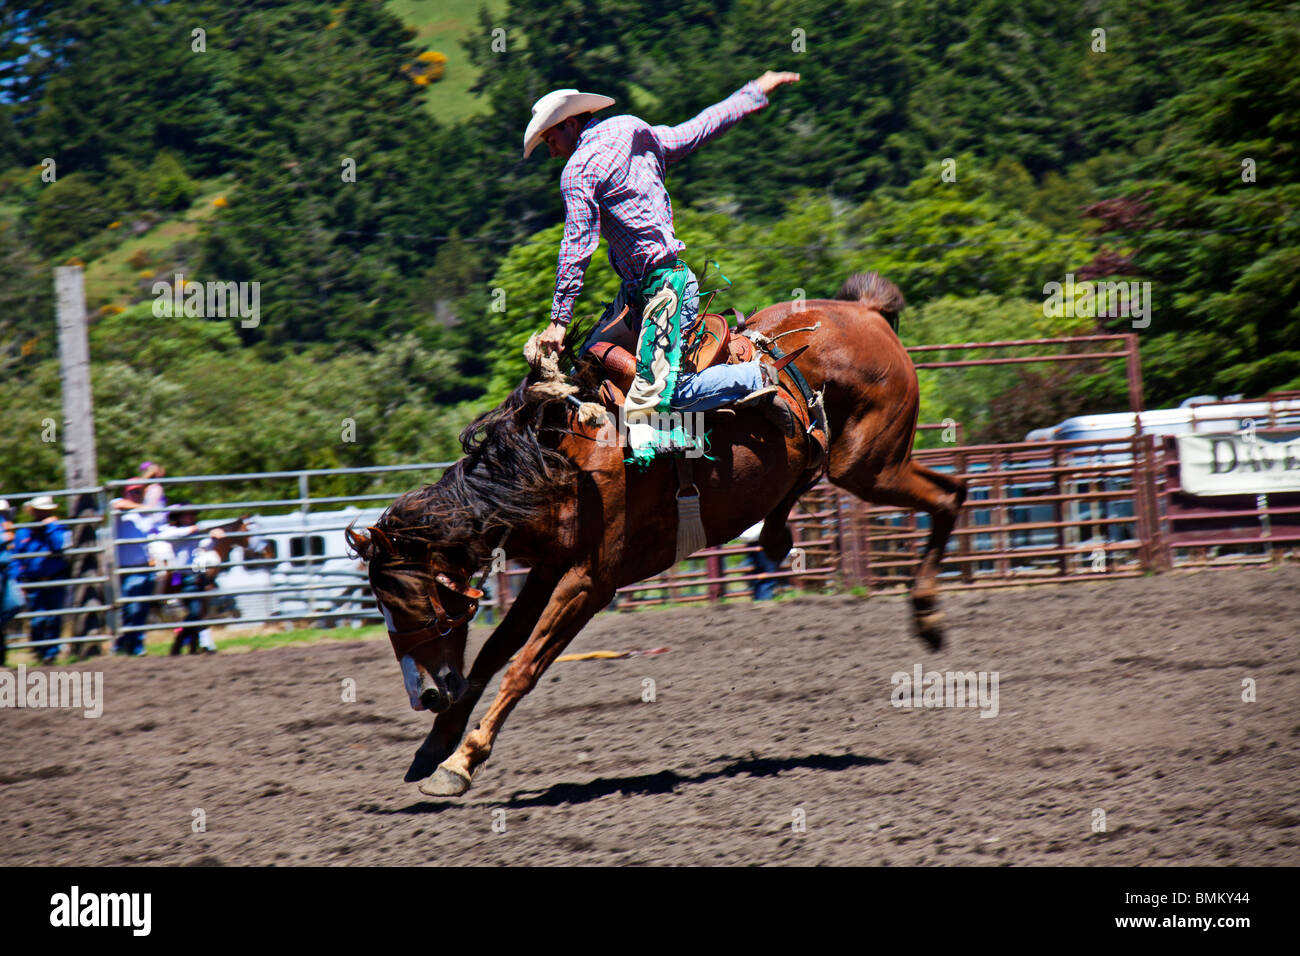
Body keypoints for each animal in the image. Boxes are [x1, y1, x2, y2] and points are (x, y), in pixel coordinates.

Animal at [346, 271, 967, 797]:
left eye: (404, 599)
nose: (425, 694)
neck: (561, 459)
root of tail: (868, 314)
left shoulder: (589, 581)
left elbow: (524, 666)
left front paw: (461, 760)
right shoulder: (547, 570)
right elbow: (492, 654)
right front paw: (434, 748)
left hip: (870, 465)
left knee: (950, 496)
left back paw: (930, 617)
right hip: (859, 465)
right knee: (906, 485)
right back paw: (782, 538)